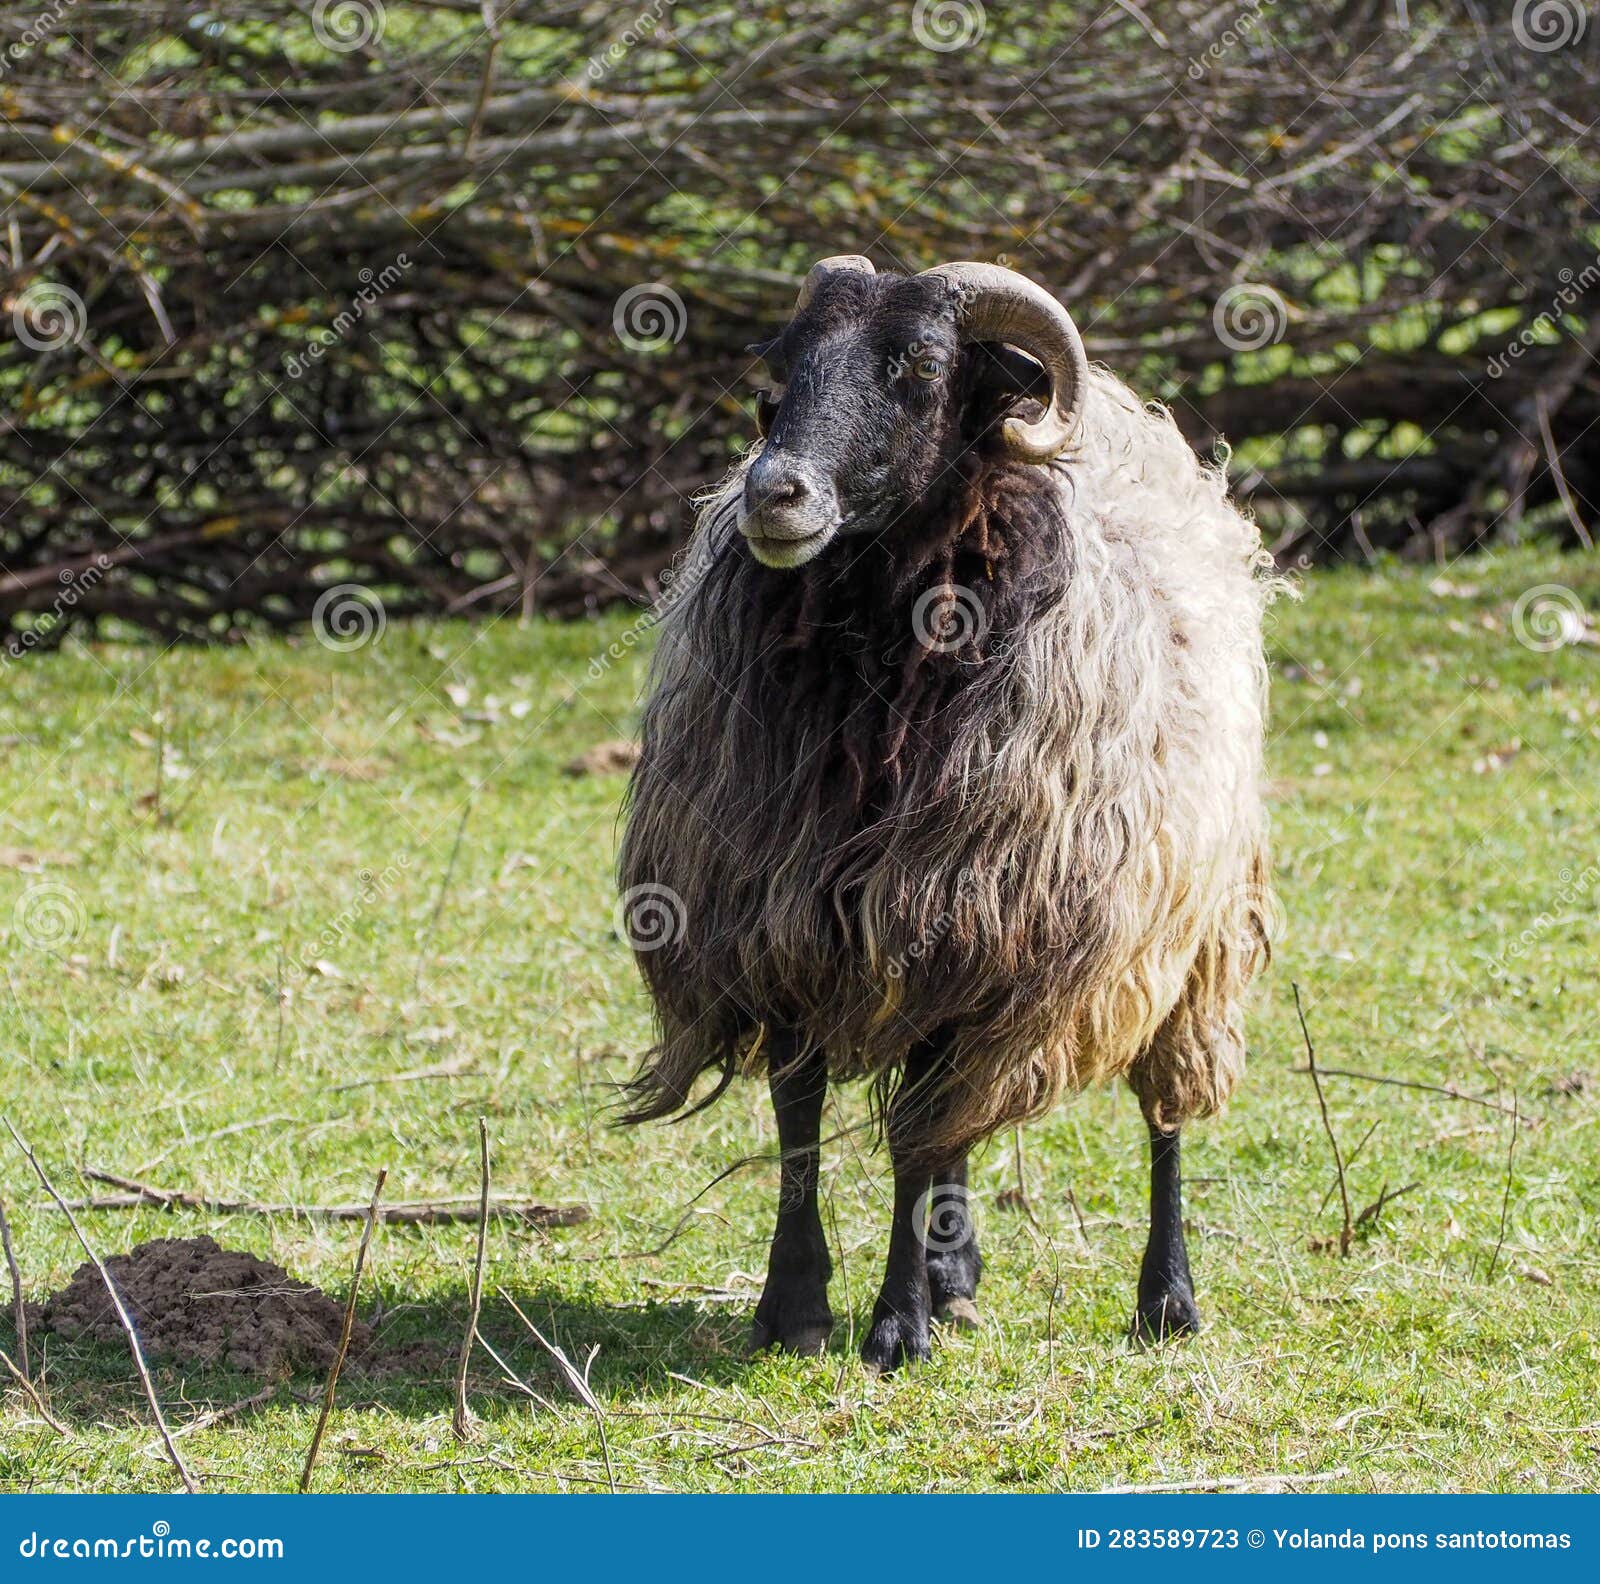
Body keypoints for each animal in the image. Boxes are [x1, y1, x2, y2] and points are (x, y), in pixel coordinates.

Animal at [618, 255, 1282, 1373]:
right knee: (960, 1120)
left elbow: (912, 1140)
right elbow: (803, 1118)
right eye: (780, 364)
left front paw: (896, 1327)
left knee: (1162, 1115)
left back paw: (1166, 1300)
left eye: (921, 367)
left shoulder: (972, 928)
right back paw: (956, 1271)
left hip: (1185, 929)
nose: (773, 492)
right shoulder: (788, 921)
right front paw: (796, 1305)